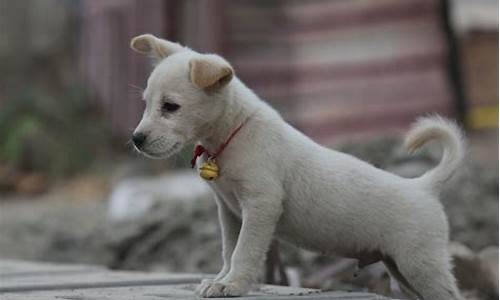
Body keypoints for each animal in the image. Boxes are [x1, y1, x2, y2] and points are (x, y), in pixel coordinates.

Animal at [129, 34, 464, 298]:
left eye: (170, 107)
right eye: (146, 103)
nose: (136, 139)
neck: (235, 131)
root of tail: (423, 185)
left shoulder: (261, 205)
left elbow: (244, 251)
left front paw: (233, 285)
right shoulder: (229, 210)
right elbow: (229, 250)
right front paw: (221, 280)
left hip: (421, 265)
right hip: (401, 270)